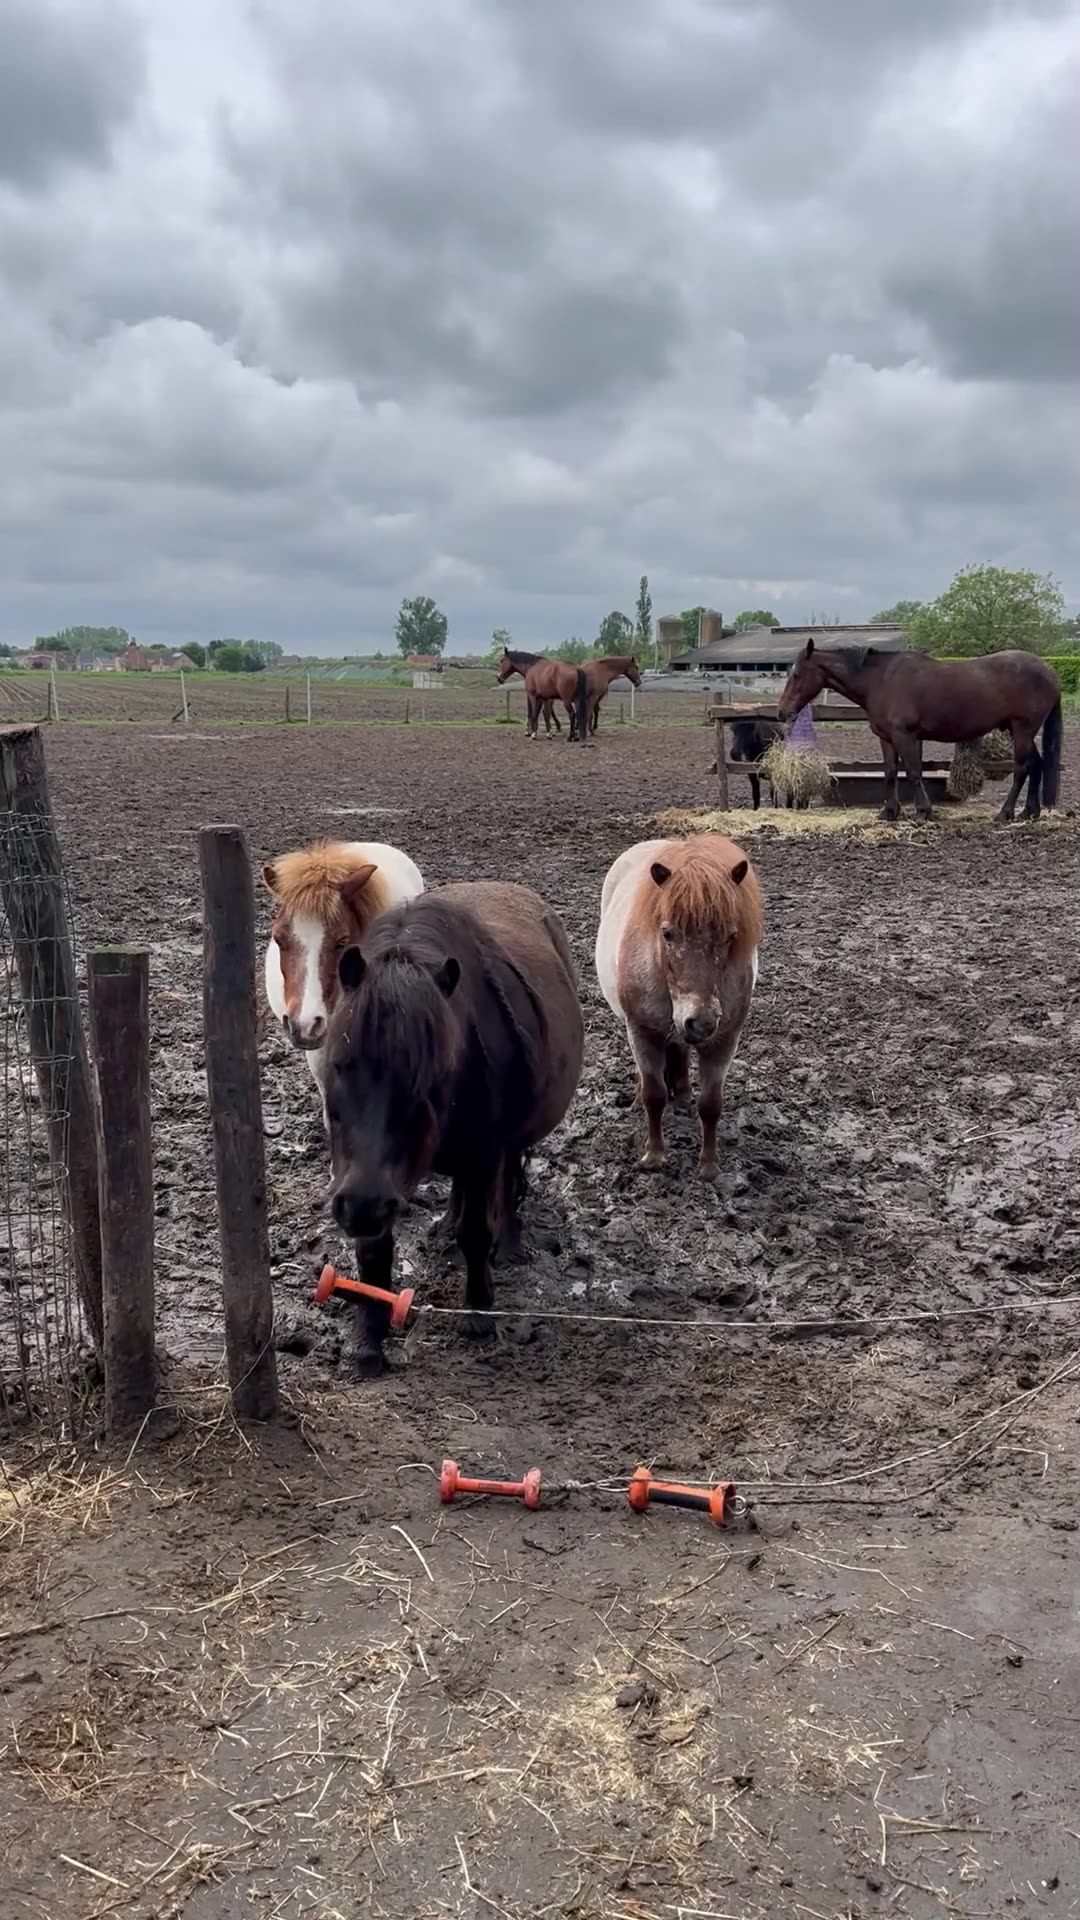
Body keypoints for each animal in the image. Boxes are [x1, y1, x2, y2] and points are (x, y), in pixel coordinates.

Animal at [324, 881, 584, 1371]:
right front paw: (368, 1336)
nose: (363, 1207)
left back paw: (509, 1242)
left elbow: (477, 1232)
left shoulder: (483, 1153)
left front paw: (479, 1315)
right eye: (339, 1064)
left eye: (428, 1075)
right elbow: (373, 1249)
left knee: (509, 1178)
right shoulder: (363, 1177)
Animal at [595, 835, 763, 1180]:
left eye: (731, 936)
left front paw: (709, 1165)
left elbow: (711, 1104)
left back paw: (683, 1094)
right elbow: (654, 1095)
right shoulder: (643, 1031)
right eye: (667, 933)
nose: (701, 1022)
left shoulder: (724, 1041)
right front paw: (655, 1156)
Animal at [777, 640, 1062, 822]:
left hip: (1022, 730)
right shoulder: (887, 739)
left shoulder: (905, 736)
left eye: (797, 675)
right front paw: (889, 812)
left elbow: (913, 772)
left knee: (1022, 769)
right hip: (1022, 732)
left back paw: (1005, 813)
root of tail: (1048, 670)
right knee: (1036, 765)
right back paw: (1029, 813)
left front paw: (924, 811)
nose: (782, 712)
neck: (880, 679)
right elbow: (890, 774)